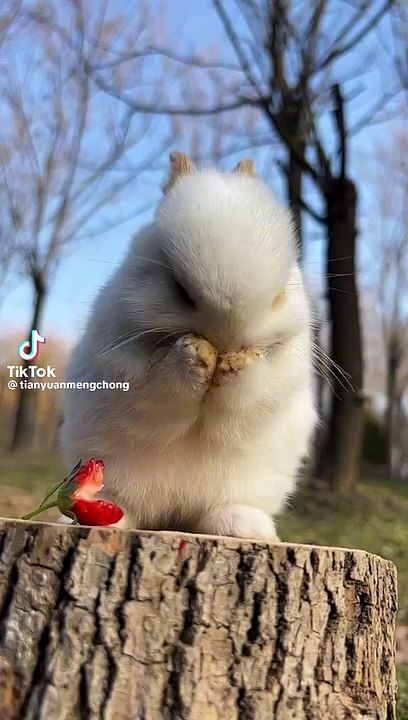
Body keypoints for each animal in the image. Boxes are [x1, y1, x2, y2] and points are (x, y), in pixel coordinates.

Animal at [60, 152, 317, 541]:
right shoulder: (126, 365)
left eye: (279, 295)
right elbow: (161, 384)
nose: (225, 342)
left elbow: (253, 389)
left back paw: (243, 527)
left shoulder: (282, 373)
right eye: (179, 288)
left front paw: (236, 364)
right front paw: (196, 356)